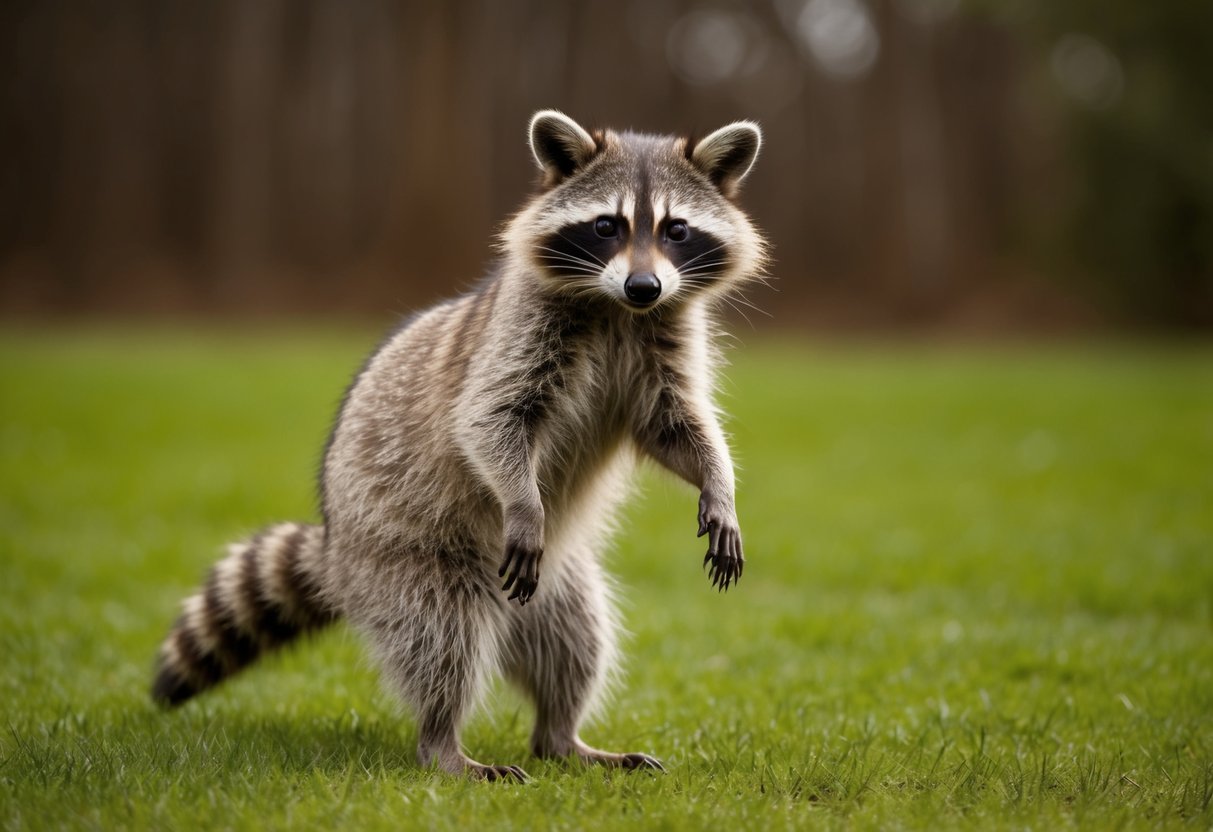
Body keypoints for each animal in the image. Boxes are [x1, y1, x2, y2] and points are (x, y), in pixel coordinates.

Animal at [151, 110, 767, 781]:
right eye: (608, 226)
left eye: (676, 230)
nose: (644, 285)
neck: (617, 310)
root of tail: (335, 550)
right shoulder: (518, 331)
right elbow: (488, 419)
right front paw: (523, 502)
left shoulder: (664, 337)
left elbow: (674, 427)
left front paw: (720, 485)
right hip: (405, 558)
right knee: (442, 637)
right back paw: (443, 741)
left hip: (555, 582)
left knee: (575, 639)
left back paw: (562, 736)